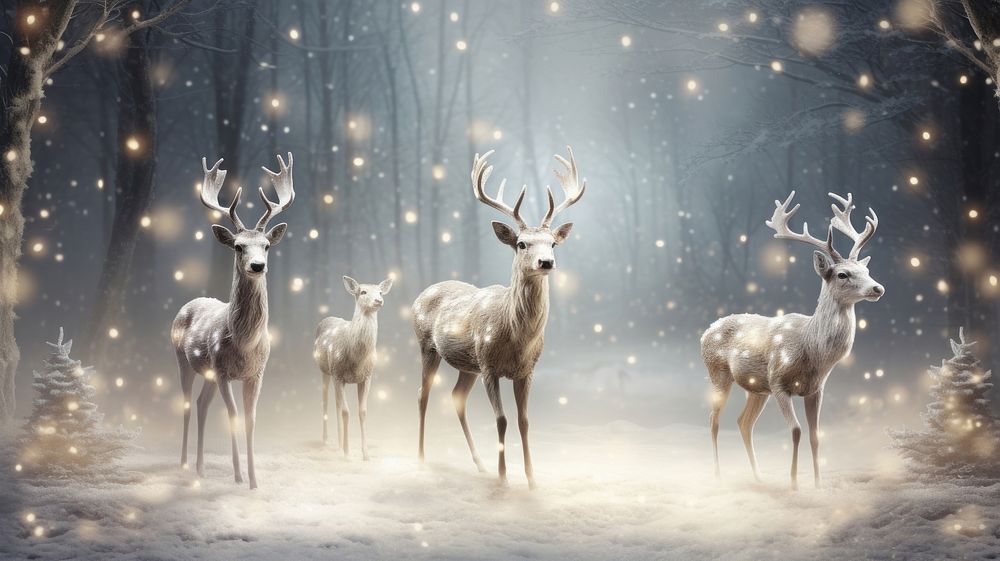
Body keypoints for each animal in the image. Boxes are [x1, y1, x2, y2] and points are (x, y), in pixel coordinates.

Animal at [171, 153, 294, 490]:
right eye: (239, 246)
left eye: (266, 245)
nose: (257, 265)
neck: (245, 343)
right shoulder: (224, 371)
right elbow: (233, 415)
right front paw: (238, 476)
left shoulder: (256, 373)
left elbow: (251, 420)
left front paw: (253, 480)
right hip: (183, 361)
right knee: (187, 404)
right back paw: (184, 464)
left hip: (209, 373)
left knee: (202, 404)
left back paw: (200, 467)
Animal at [314, 276, 393, 460]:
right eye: (363, 292)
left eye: (380, 292)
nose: (379, 300)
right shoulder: (338, 374)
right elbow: (346, 412)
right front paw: (347, 453)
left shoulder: (366, 376)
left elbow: (362, 412)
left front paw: (366, 455)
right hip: (325, 370)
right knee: (326, 401)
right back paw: (326, 443)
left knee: (336, 403)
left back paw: (338, 444)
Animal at [413, 146, 585, 489]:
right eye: (521, 243)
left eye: (553, 243)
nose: (546, 262)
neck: (515, 337)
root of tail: (422, 293)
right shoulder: (490, 365)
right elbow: (502, 419)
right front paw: (504, 478)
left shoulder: (527, 370)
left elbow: (524, 420)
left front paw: (531, 480)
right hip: (428, 346)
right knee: (423, 395)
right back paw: (422, 457)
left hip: (468, 365)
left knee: (456, 397)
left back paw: (479, 464)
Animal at [701, 191, 883, 490]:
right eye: (842, 274)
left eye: (866, 271)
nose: (878, 288)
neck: (812, 350)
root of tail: (705, 332)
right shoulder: (778, 383)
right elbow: (796, 430)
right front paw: (795, 484)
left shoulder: (816, 389)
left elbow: (815, 435)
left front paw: (818, 486)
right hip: (719, 374)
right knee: (714, 419)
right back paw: (717, 475)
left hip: (756, 389)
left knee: (743, 422)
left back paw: (758, 476)